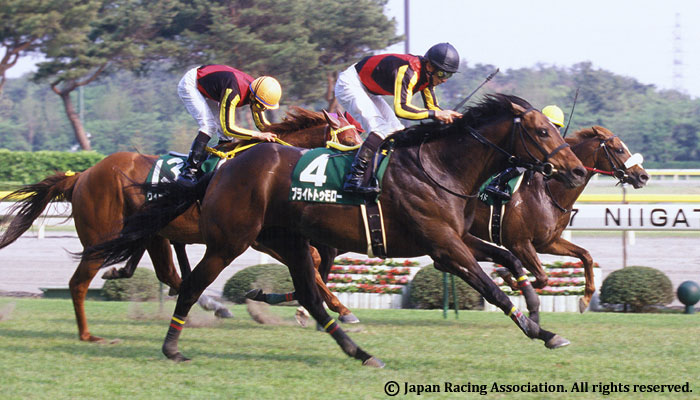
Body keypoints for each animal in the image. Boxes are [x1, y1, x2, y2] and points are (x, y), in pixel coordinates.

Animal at [0, 108, 362, 342]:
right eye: (348, 138)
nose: (359, 172)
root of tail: (82, 175)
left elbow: (315, 261)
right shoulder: (258, 237)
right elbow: (314, 262)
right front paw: (337, 309)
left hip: (154, 234)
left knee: (170, 275)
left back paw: (213, 306)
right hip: (102, 237)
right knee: (80, 283)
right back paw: (88, 334)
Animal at [85, 93, 587, 366]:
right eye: (542, 131)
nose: (577, 169)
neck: (438, 166)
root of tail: (223, 168)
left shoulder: (453, 240)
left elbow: (507, 259)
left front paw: (535, 305)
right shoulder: (443, 246)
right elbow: (492, 288)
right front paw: (541, 330)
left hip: (288, 240)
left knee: (308, 292)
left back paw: (358, 352)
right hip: (231, 240)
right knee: (190, 284)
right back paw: (172, 345)